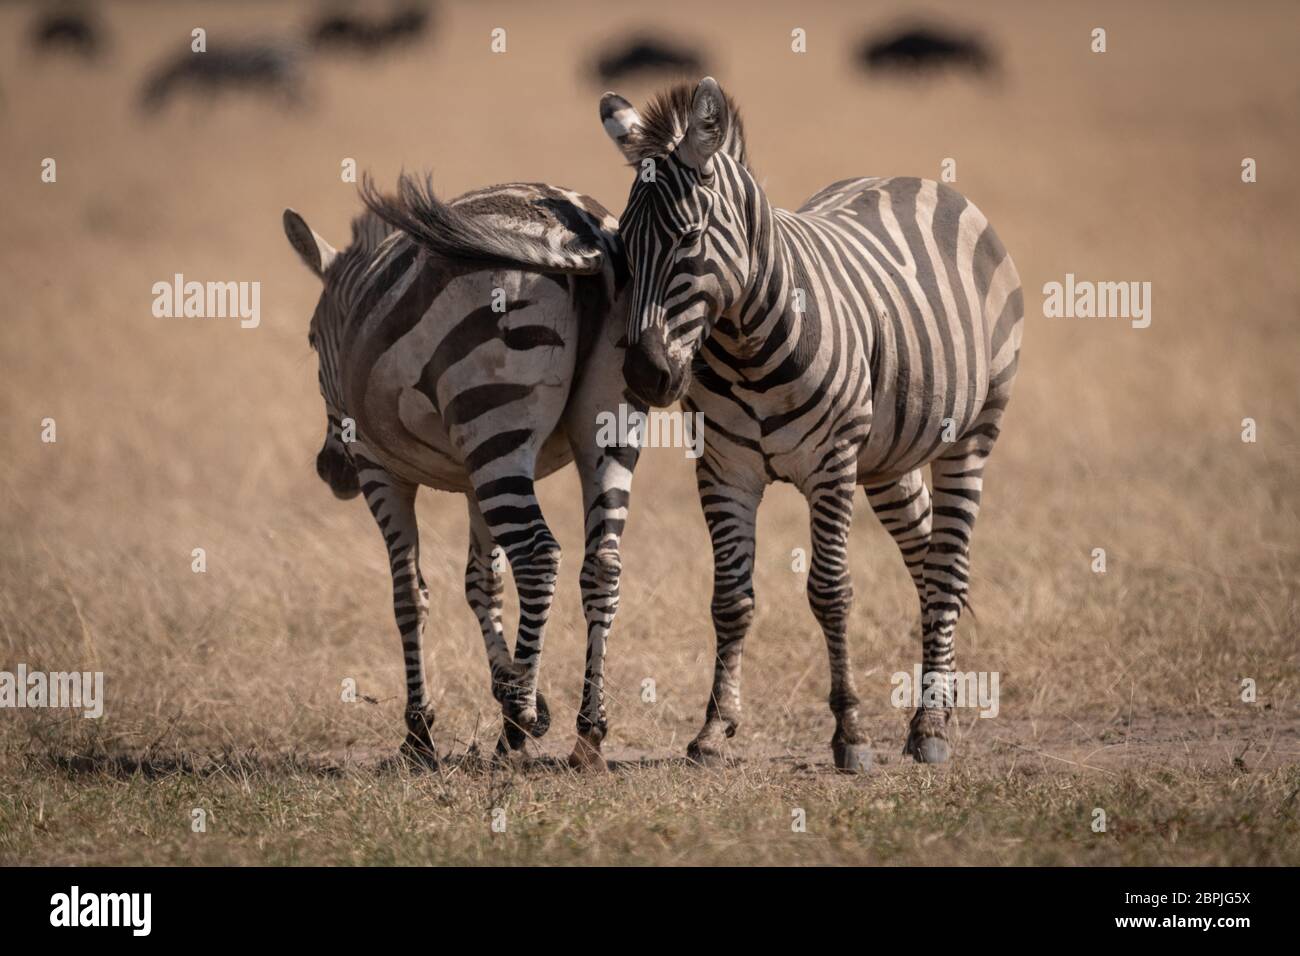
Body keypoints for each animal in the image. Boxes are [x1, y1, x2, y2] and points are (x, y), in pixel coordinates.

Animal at [282, 176, 643, 770]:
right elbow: (483, 584)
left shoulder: (380, 469)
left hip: (491, 411)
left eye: (311, 339)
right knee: (603, 565)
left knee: (538, 556)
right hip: (604, 427)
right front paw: (523, 694)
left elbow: (409, 593)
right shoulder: (475, 476)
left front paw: (421, 734)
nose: (330, 471)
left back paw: (516, 728)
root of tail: (580, 227)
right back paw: (587, 734)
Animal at [598, 78, 1024, 771]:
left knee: (948, 566)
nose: (646, 375)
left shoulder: (830, 466)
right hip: (887, 458)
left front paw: (850, 734)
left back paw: (930, 726)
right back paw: (942, 708)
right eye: (620, 247)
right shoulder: (724, 470)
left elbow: (830, 592)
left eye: (689, 239)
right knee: (927, 557)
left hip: (970, 435)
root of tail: (914, 179)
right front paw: (713, 730)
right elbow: (731, 600)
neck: (745, 343)